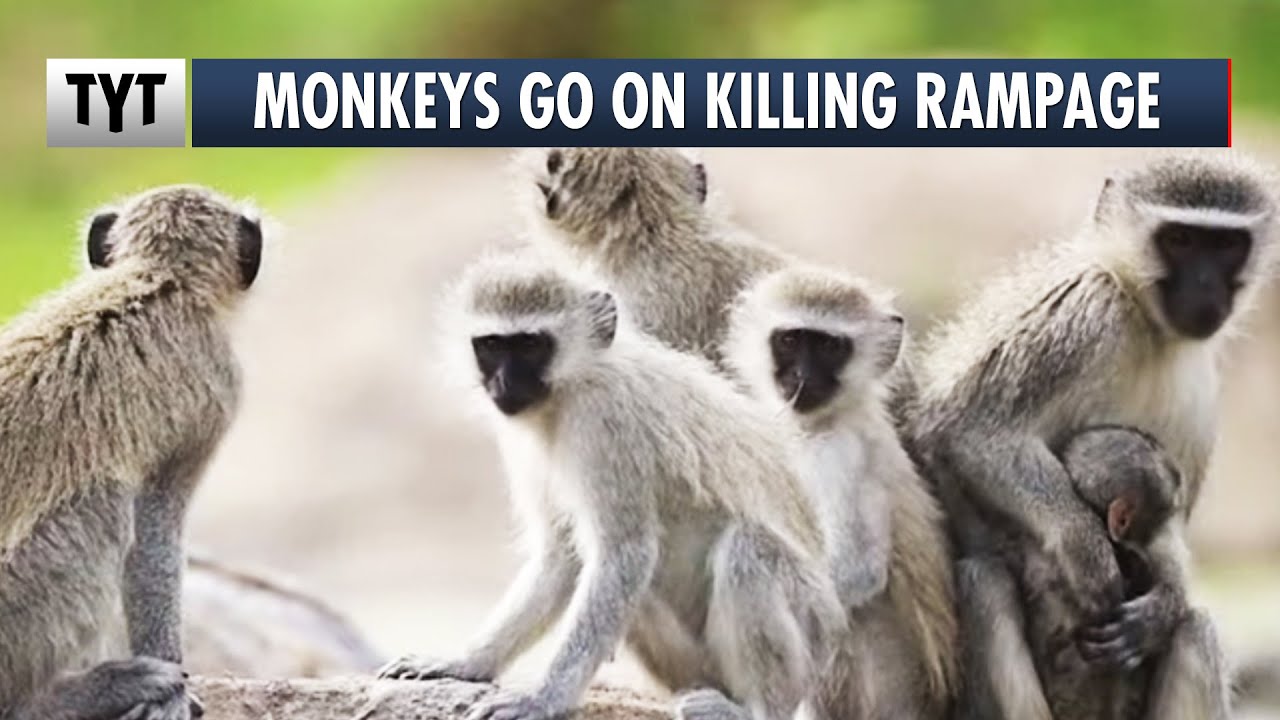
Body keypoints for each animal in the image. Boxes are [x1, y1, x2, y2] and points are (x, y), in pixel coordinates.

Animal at [379, 253, 845, 720]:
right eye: (492, 345)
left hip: (811, 639)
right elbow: (561, 557)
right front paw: (466, 662)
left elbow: (624, 554)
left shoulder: (605, 422)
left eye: (530, 346)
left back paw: (755, 709)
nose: (505, 384)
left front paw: (542, 698)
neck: (569, 390)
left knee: (749, 551)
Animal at [723, 266, 958, 720]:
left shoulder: (840, 458)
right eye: (790, 340)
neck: (816, 426)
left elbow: (855, 572)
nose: (803, 378)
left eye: (831, 347)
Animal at [906, 153, 1276, 720]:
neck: (1147, 325)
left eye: (1226, 246)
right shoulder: (1085, 310)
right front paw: (1087, 553)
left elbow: (1168, 524)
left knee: (1197, 630)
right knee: (985, 584)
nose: (1205, 287)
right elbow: (969, 428)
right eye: (1181, 241)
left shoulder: (1200, 392)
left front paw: (1164, 601)